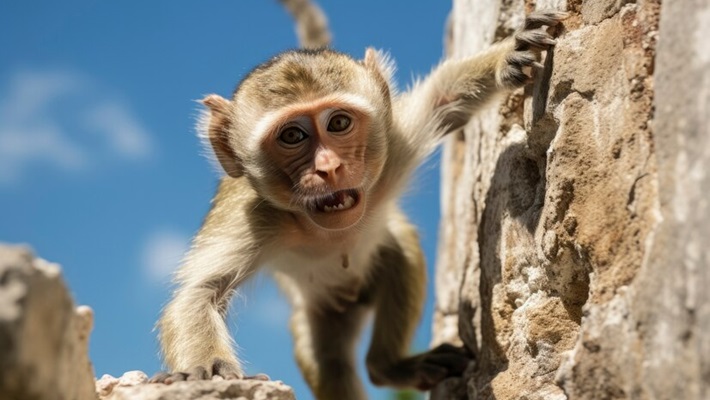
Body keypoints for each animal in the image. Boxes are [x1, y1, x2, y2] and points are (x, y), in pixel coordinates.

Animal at [150, 2, 566, 398]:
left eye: (338, 123)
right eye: (292, 135)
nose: (329, 167)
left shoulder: (394, 141)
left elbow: (445, 97)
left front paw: (509, 56)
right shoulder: (255, 218)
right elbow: (199, 294)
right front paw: (209, 370)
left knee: (400, 251)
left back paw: (390, 365)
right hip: (325, 313)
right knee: (328, 360)